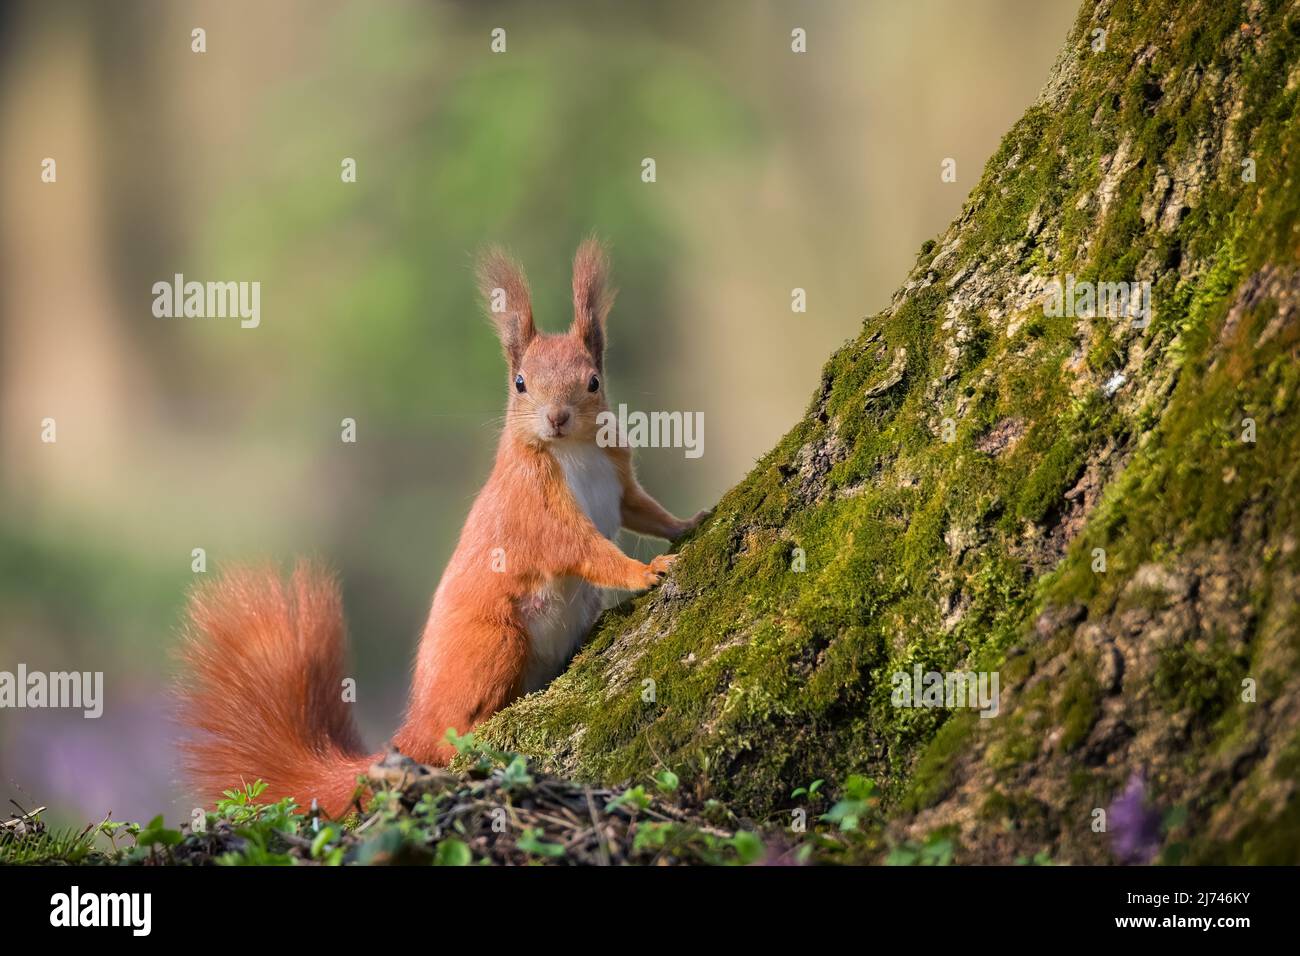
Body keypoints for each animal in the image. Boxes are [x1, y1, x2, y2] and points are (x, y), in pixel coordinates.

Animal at [175, 239, 706, 816]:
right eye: (520, 383)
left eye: (593, 380)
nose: (557, 417)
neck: (573, 453)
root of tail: (413, 728)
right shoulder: (534, 512)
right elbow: (585, 550)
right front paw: (644, 570)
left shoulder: (619, 479)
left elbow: (644, 511)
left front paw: (687, 522)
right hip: (496, 644)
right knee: (454, 732)